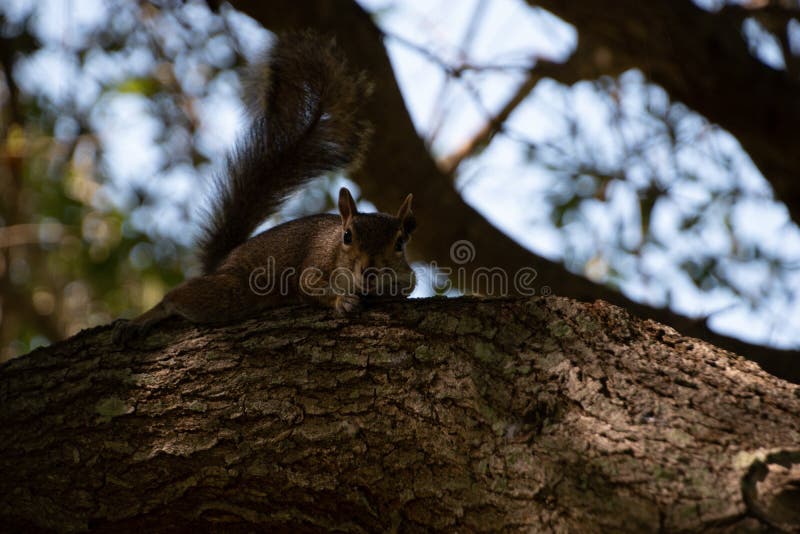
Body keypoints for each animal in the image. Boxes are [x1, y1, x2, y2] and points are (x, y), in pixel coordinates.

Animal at [113, 32, 416, 344]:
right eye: (347, 236)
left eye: (400, 243)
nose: (369, 270)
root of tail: (224, 263)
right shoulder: (315, 263)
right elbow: (309, 286)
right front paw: (342, 300)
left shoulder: (408, 275)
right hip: (233, 290)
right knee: (179, 297)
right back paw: (142, 319)